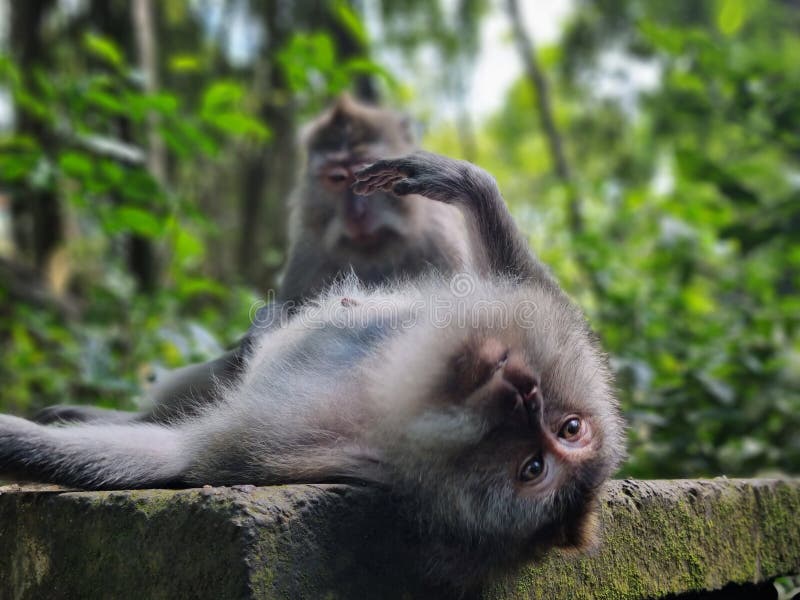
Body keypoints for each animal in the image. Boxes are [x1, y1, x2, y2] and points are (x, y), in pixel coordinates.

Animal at [0, 151, 625, 589]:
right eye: (571, 428)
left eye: (533, 468)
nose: (522, 394)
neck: (391, 390)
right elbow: (524, 287)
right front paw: (467, 185)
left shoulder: (294, 449)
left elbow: (175, 459)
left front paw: (13, 440)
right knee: (237, 357)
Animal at [33, 96, 474, 426]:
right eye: (338, 179)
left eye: (366, 174)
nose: (356, 213)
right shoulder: (309, 242)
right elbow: (288, 311)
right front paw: (263, 326)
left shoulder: (441, 239)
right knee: (233, 363)